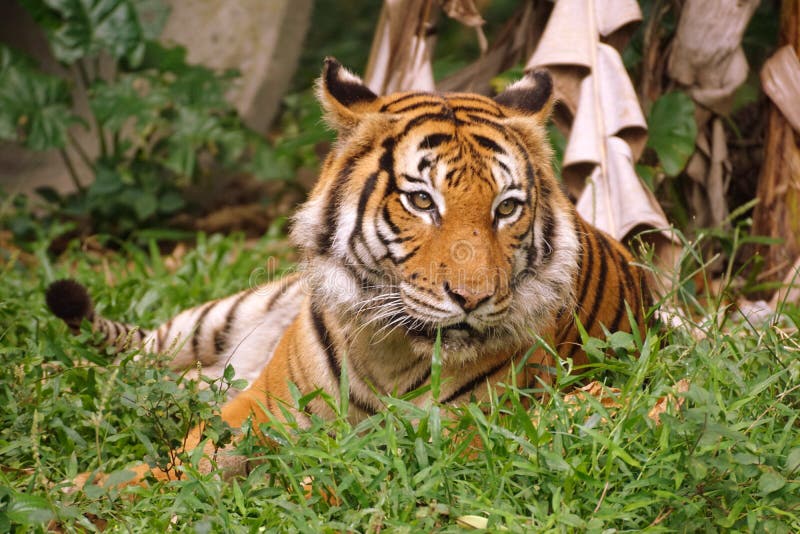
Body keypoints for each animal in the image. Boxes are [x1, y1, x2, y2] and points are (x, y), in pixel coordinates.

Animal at [46, 57, 650, 487]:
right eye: (422, 200)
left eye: (506, 208)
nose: (473, 298)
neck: (390, 348)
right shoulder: (259, 406)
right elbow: (184, 460)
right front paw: (85, 491)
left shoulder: (460, 432)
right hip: (209, 323)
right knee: (131, 360)